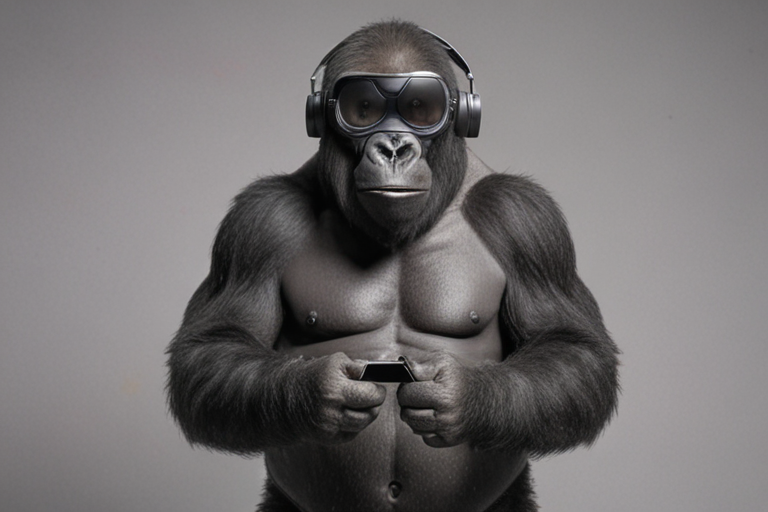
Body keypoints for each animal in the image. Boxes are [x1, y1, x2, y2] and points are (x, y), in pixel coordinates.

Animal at [166, 20, 619, 512]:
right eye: (363, 108)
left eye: (421, 108)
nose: (395, 146)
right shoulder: (260, 222)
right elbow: (215, 344)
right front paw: (318, 392)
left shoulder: (526, 220)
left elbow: (569, 345)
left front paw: (461, 397)